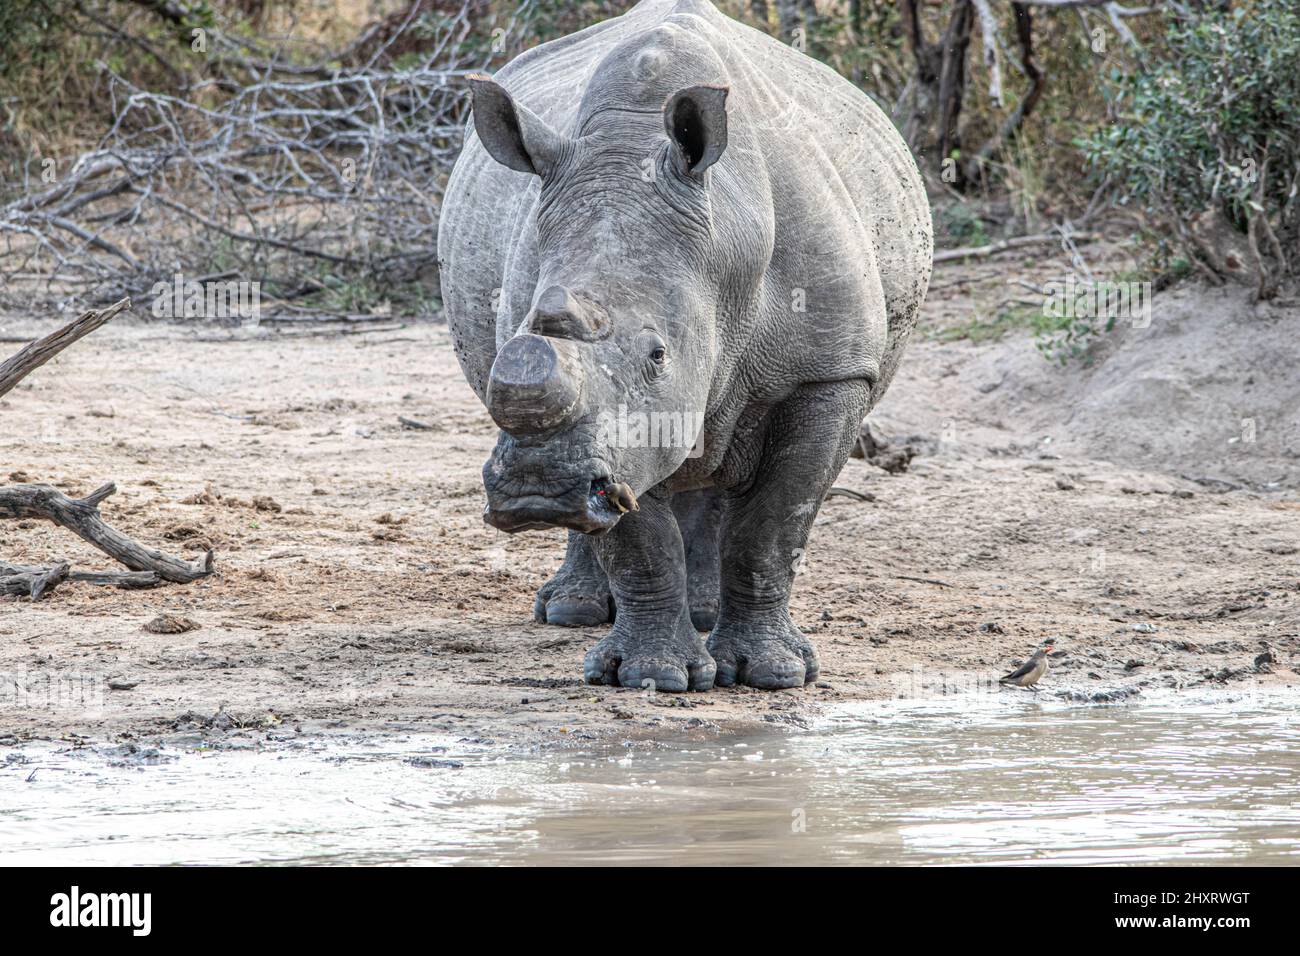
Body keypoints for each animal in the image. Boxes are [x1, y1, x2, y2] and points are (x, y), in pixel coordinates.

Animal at [438, 0, 931, 691]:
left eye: (657, 356)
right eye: (518, 337)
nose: (539, 488)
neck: (725, 249)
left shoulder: (831, 373)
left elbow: (775, 522)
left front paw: (772, 675)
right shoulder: (624, 425)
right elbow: (639, 534)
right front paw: (651, 676)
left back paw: (705, 615)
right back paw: (575, 611)